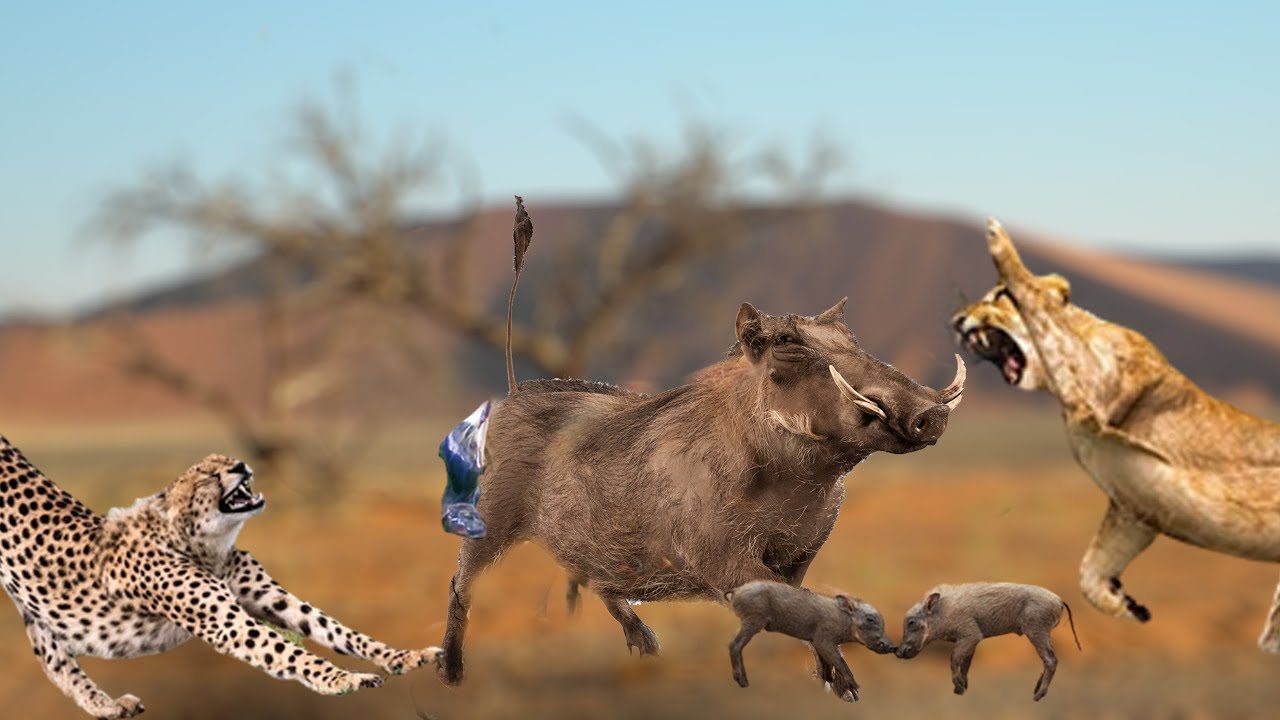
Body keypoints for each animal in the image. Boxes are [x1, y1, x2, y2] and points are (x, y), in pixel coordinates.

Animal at [727, 580, 896, 701]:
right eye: (870, 619)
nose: (892, 647)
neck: (843, 619)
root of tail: (737, 592)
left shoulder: (818, 643)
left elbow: (827, 666)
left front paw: (825, 684)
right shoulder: (824, 641)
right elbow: (840, 662)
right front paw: (855, 687)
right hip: (752, 621)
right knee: (734, 645)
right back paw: (743, 682)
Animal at [896, 583, 1080, 701]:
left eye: (911, 622)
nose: (897, 651)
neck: (943, 612)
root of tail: (1059, 600)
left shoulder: (971, 635)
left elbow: (954, 659)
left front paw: (958, 688)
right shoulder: (970, 640)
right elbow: (965, 663)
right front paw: (961, 688)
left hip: (1036, 630)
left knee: (1050, 660)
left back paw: (1037, 696)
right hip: (1043, 632)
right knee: (1051, 659)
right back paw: (1037, 689)